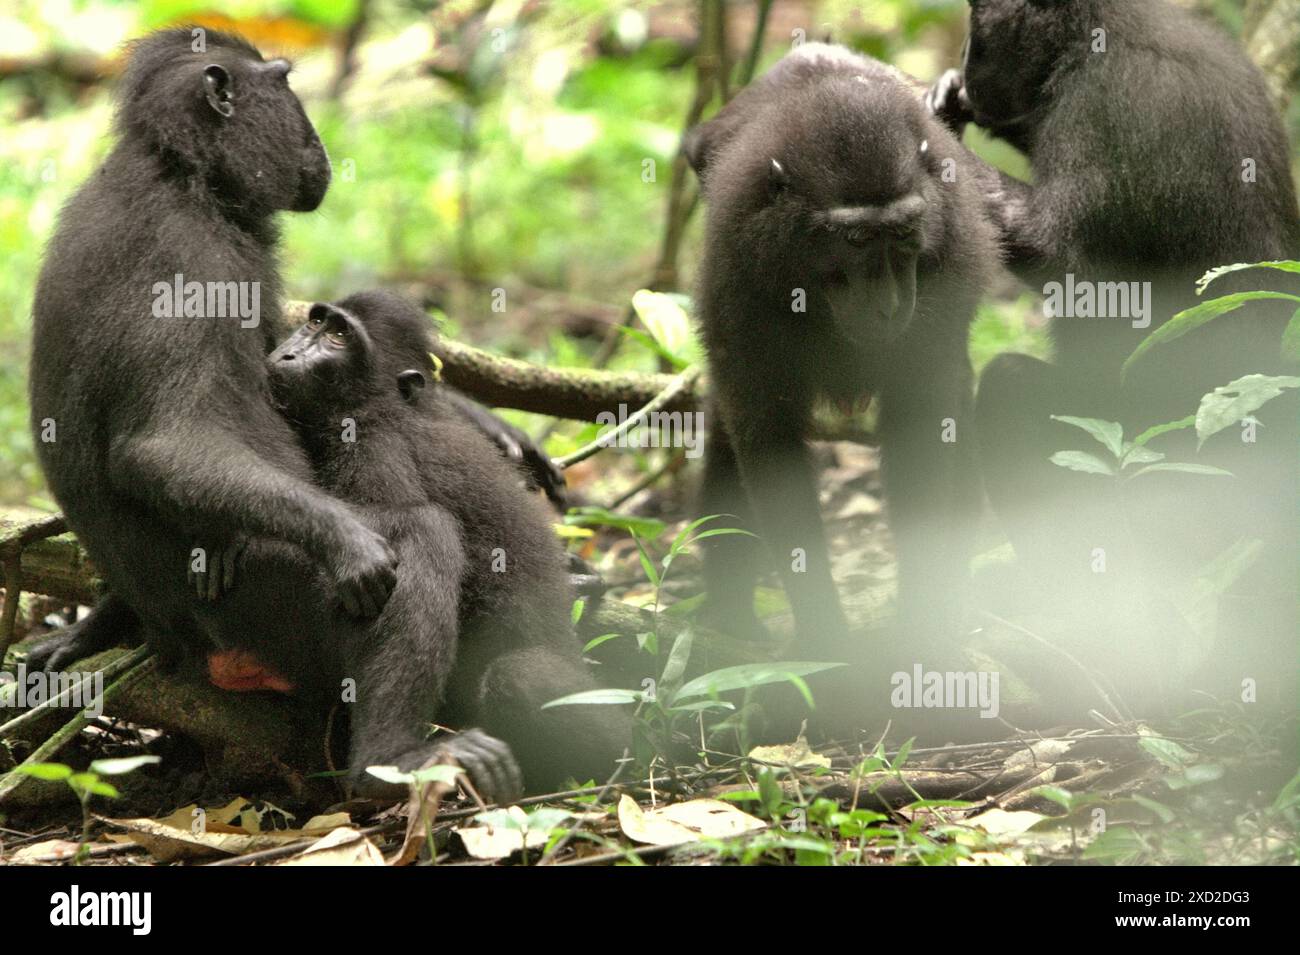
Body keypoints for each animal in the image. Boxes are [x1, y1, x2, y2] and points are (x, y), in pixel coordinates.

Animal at [259, 289, 629, 793]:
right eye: (314, 322)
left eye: (338, 335)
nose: (289, 352)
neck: (380, 406)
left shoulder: (374, 452)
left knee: (518, 675)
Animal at [685, 44, 1001, 661]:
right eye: (854, 240)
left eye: (904, 233)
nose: (889, 302)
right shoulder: (740, 276)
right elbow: (768, 444)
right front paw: (822, 633)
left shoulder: (948, 260)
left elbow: (924, 431)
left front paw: (922, 626)